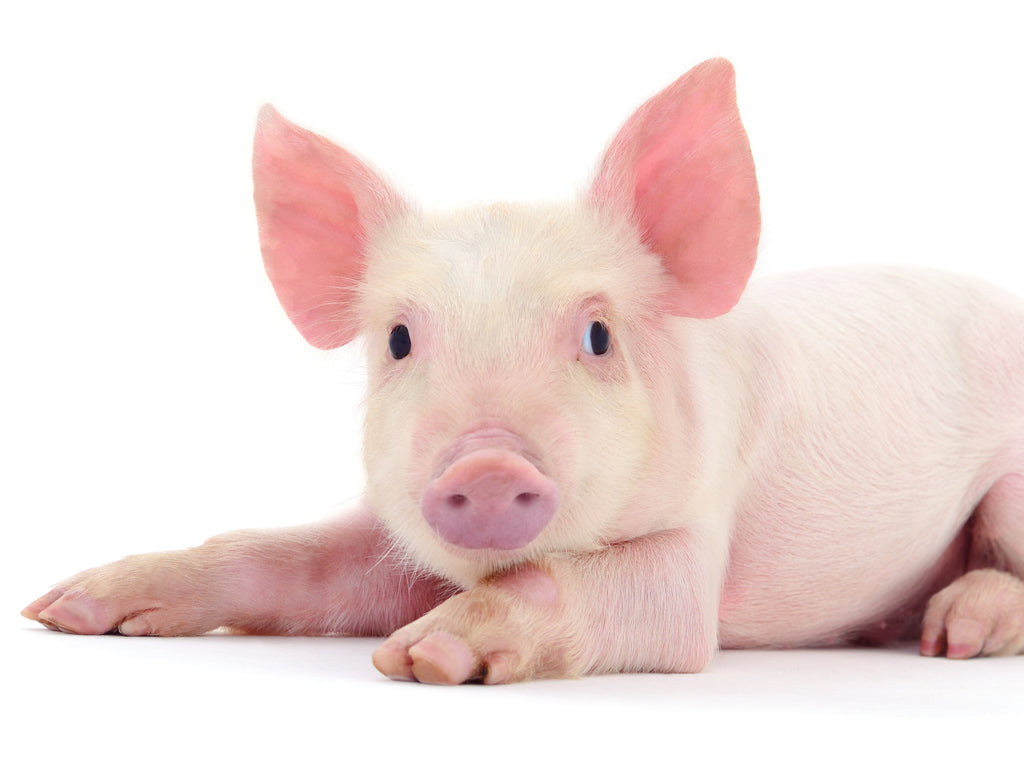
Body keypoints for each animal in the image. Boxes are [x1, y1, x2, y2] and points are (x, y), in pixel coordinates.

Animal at [22, 58, 1024, 684]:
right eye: (398, 339)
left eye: (598, 336)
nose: (488, 461)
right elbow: (289, 557)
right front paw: (62, 611)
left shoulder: (699, 537)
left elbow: (624, 596)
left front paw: (422, 659)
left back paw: (954, 637)